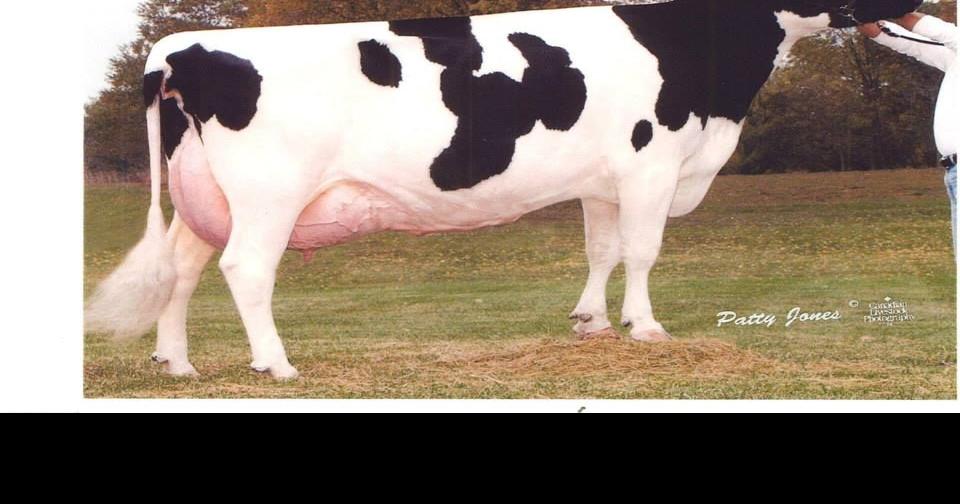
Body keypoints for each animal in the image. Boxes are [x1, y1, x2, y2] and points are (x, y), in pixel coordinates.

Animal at [85, 0, 925, 380]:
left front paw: (592, 323)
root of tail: (181, 49)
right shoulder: (650, 164)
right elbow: (644, 252)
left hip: (206, 198)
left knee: (182, 270)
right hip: (267, 195)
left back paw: (178, 363)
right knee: (245, 271)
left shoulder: (604, 180)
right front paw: (646, 327)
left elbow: (602, 249)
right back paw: (276, 364)